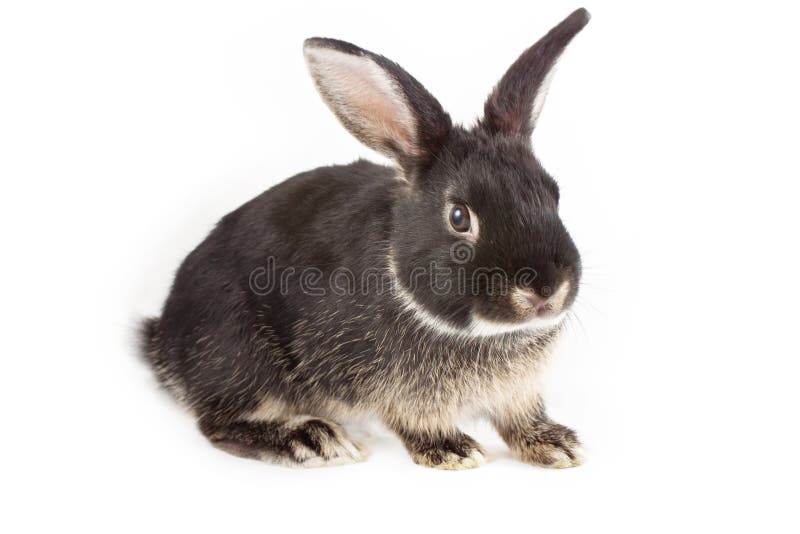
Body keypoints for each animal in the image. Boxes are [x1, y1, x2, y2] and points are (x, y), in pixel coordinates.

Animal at [140, 8, 590, 469]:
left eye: (553, 195)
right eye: (459, 217)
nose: (546, 290)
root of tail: (164, 341)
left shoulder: (518, 393)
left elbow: (520, 416)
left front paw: (555, 444)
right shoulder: (395, 390)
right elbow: (415, 420)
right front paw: (452, 450)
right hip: (242, 355)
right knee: (219, 424)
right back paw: (313, 439)